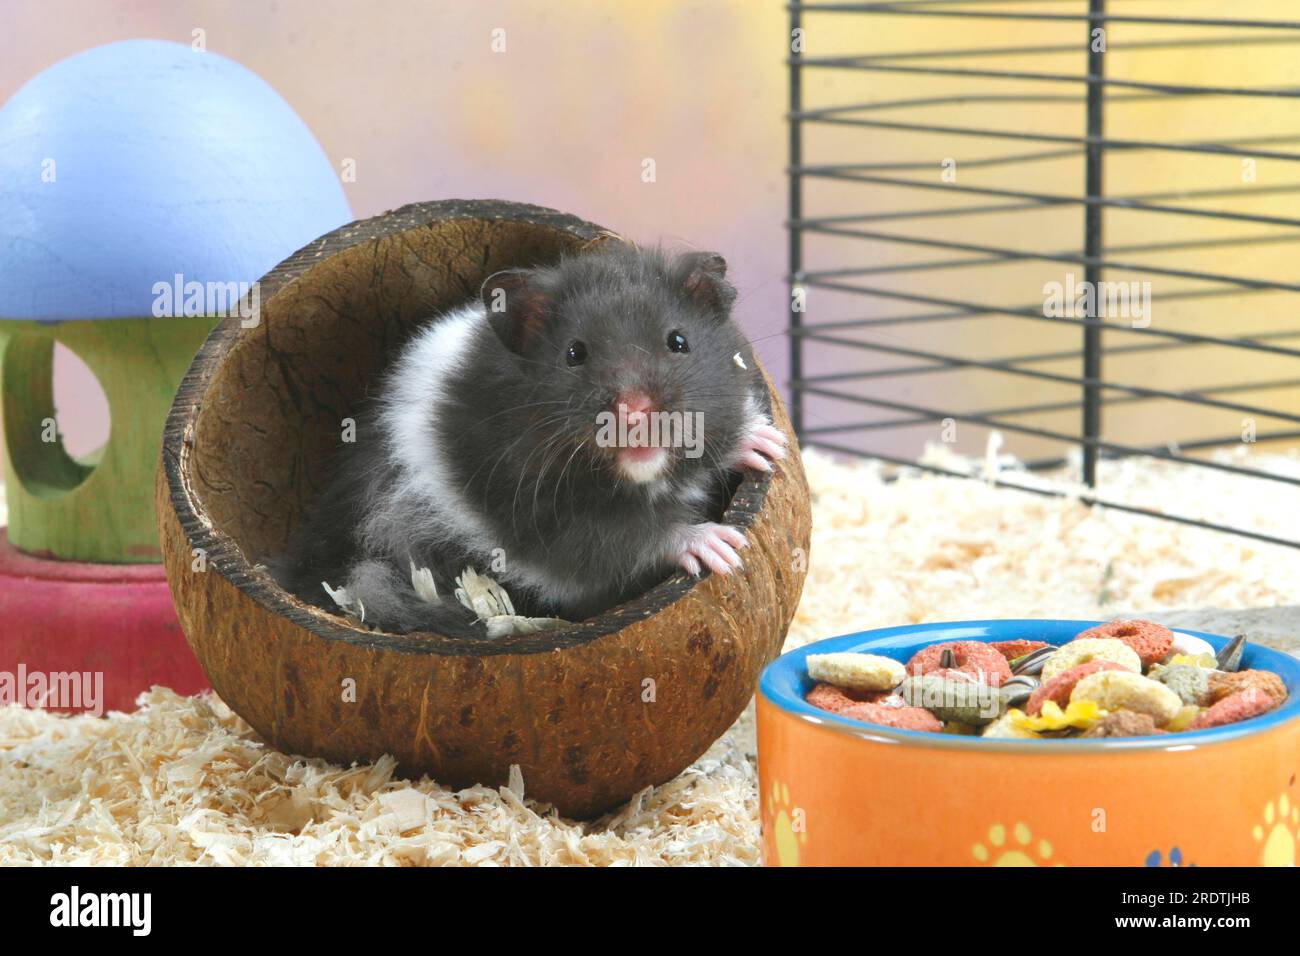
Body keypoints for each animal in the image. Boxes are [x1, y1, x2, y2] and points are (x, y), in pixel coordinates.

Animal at [275, 242, 787, 635]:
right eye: (574, 354)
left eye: (678, 342)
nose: (634, 412)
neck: (645, 480)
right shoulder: (542, 521)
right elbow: (630, 539)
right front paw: (723, 548)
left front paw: (766, 444)